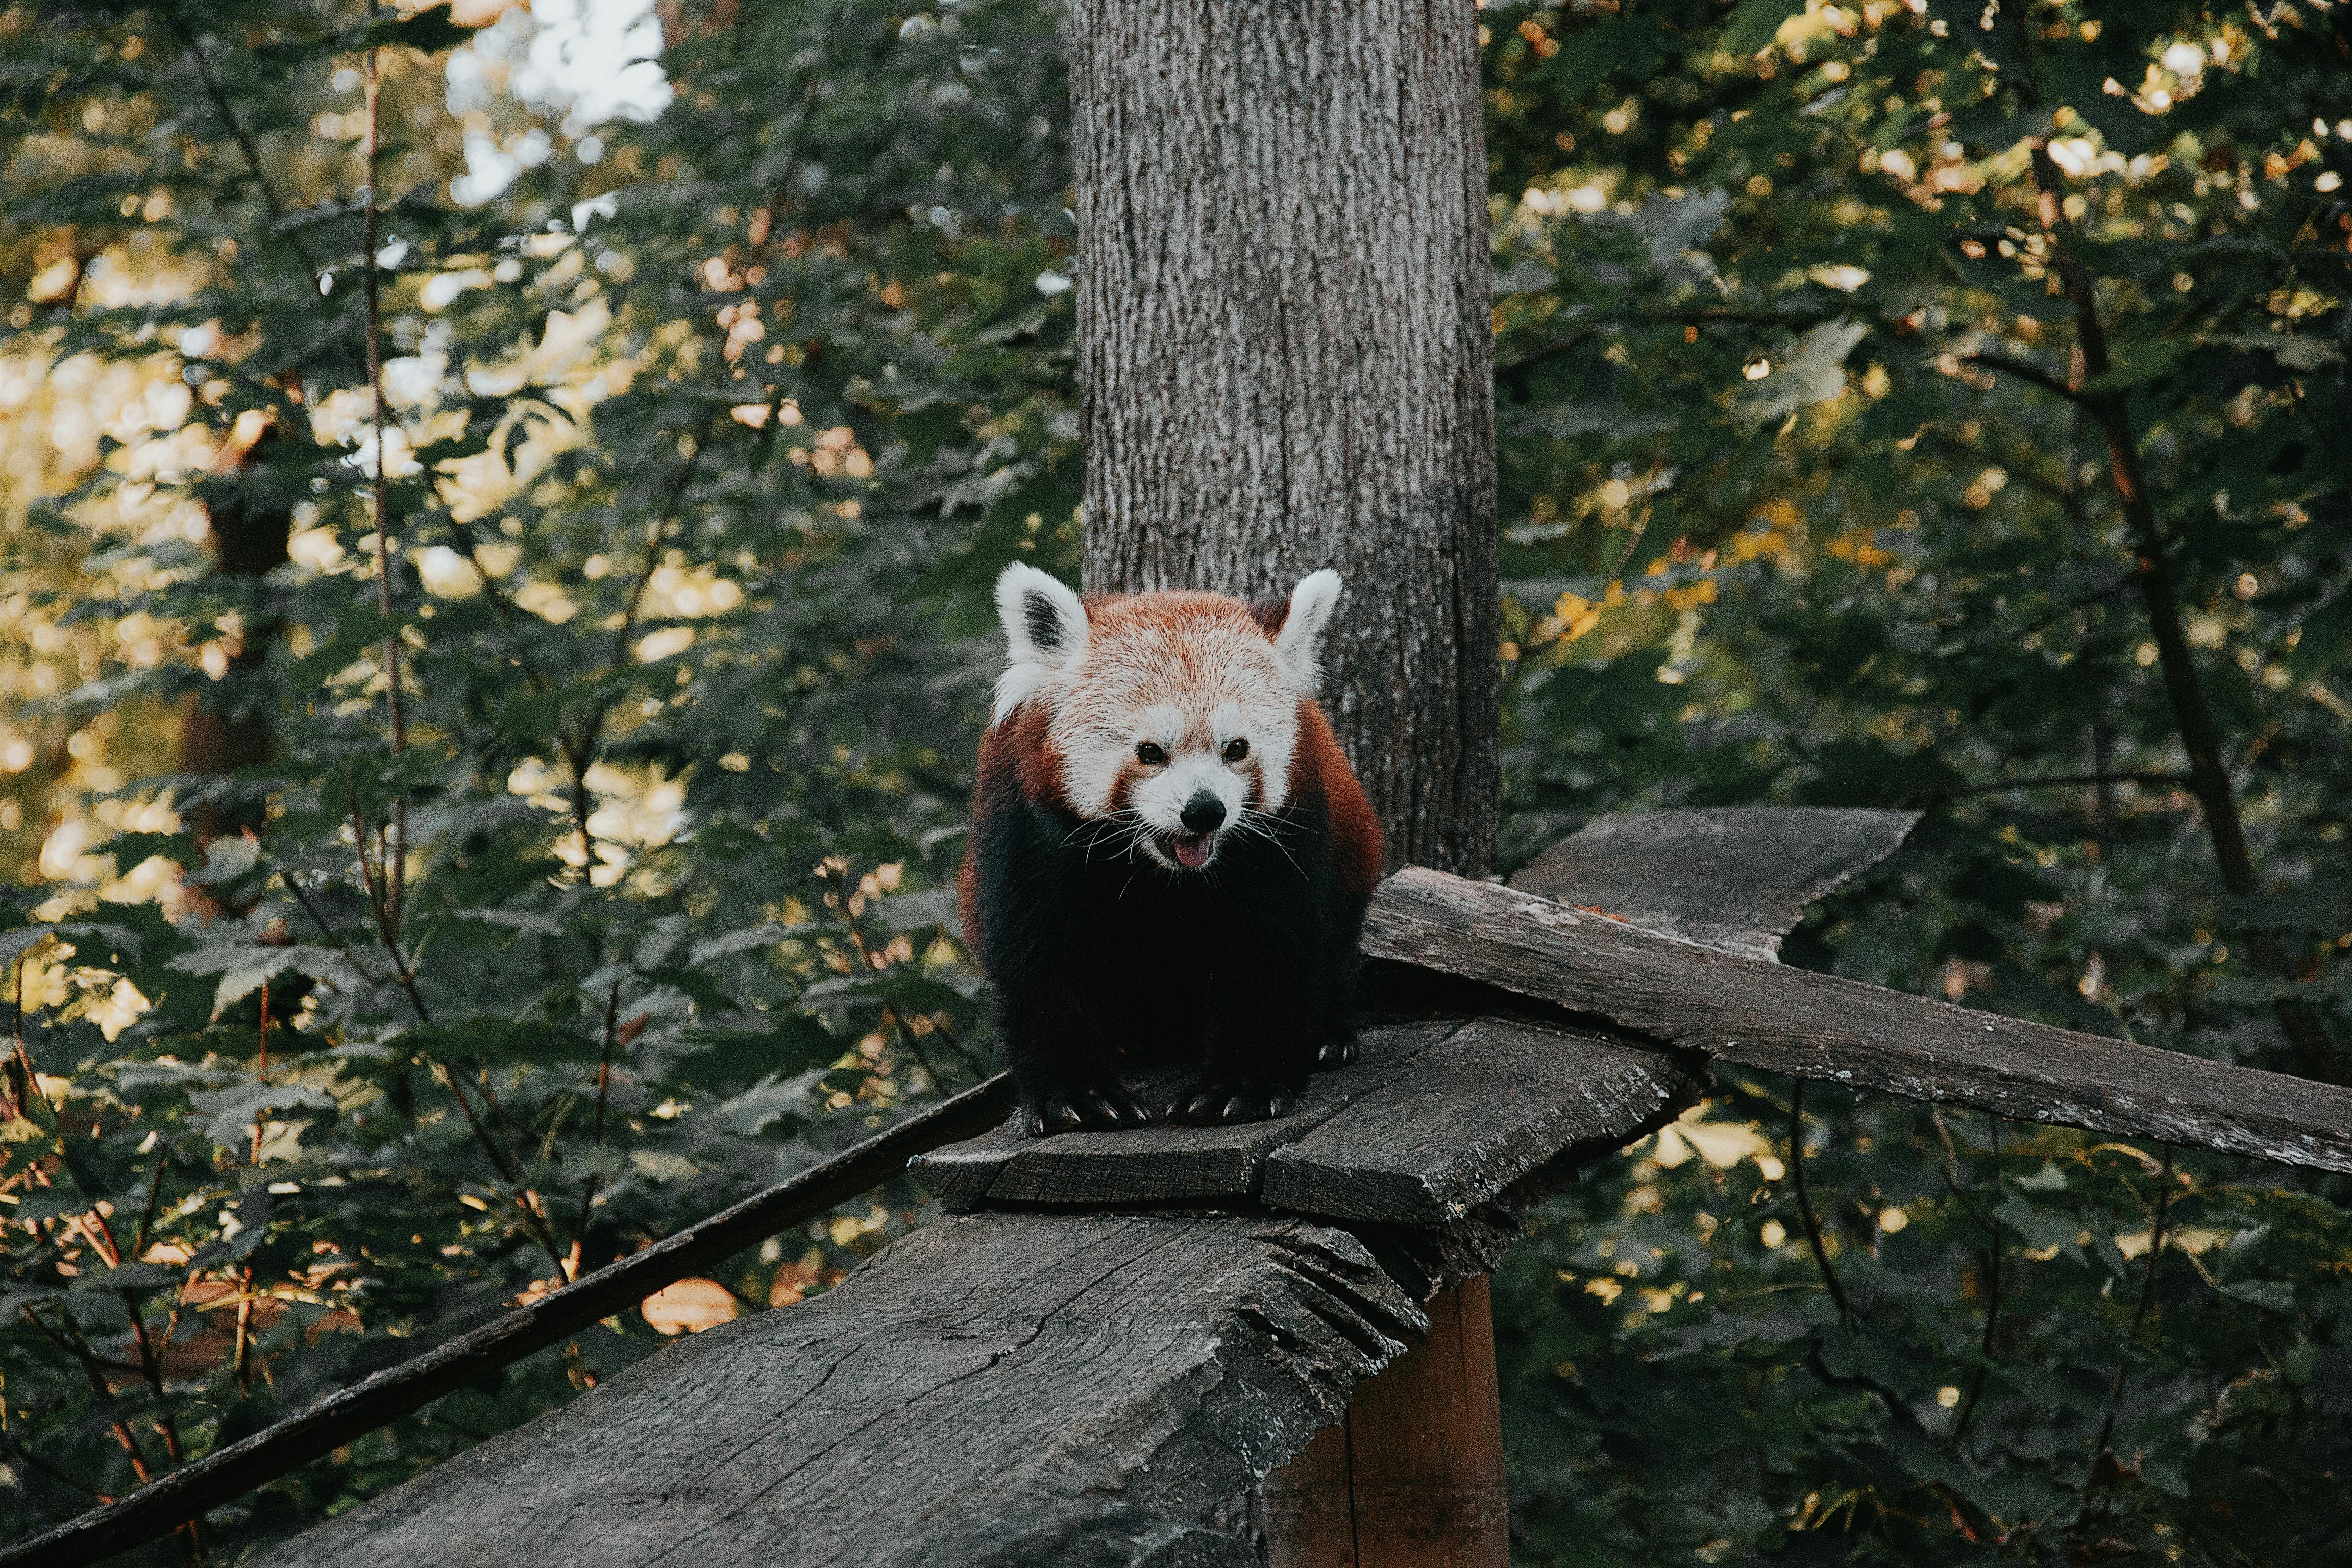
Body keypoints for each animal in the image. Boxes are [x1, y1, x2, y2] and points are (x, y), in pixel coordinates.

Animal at [957, 563, 1385, 1136]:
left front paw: (1241, 1086)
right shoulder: (1027, 829)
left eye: (1236, 748)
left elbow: (1269, 951)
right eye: (1150, 752)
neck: (1160, 873)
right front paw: (1077, 1097)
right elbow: (1040, 960)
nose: (1204, 811)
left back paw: (1328, 1036)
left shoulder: (1287, 831)